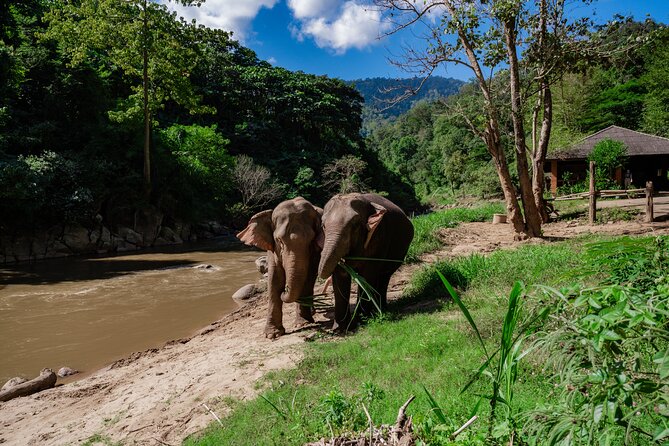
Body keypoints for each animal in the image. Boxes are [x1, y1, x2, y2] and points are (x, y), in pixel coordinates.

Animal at [237, 197, 322, 339]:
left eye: (311, 240)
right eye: (279, 240)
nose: (285, 290)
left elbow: (308, 278)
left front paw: (302, 324)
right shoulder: (272, 249)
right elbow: (274, 279)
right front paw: (272, 335)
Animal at [317, 193, 414, 331]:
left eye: (354, 225)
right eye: (323, 226)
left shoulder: (378, 236)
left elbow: (367, 274)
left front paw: (361, 321)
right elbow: (340, 274)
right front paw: (340, 328)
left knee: (384, 276)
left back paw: (381, 310)